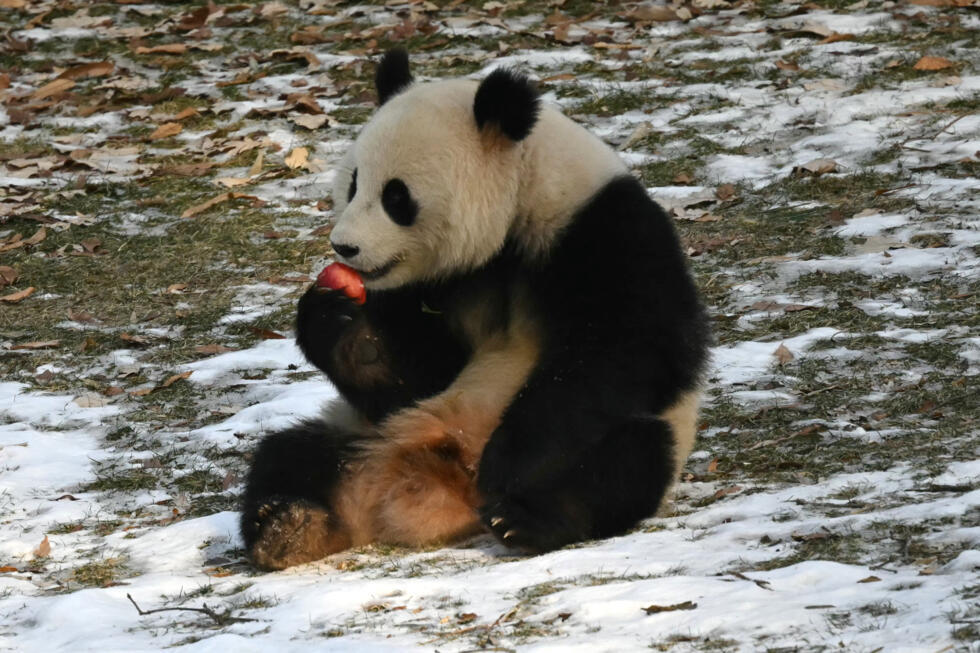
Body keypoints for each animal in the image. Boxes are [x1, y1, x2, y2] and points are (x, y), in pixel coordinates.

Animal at [240, 48, 710, 570]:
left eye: (396, 196)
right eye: (354, 184)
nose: (344, 247)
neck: (521, 203)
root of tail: (441, 492)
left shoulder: (605, 229)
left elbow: (627, 350)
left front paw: (507, 461)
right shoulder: (435, 288)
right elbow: (417, 377)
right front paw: (336, 324)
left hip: (641, 437)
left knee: (629, 459)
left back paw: (528, 520)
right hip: (361, 436)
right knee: (289, 454)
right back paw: (288, 526)